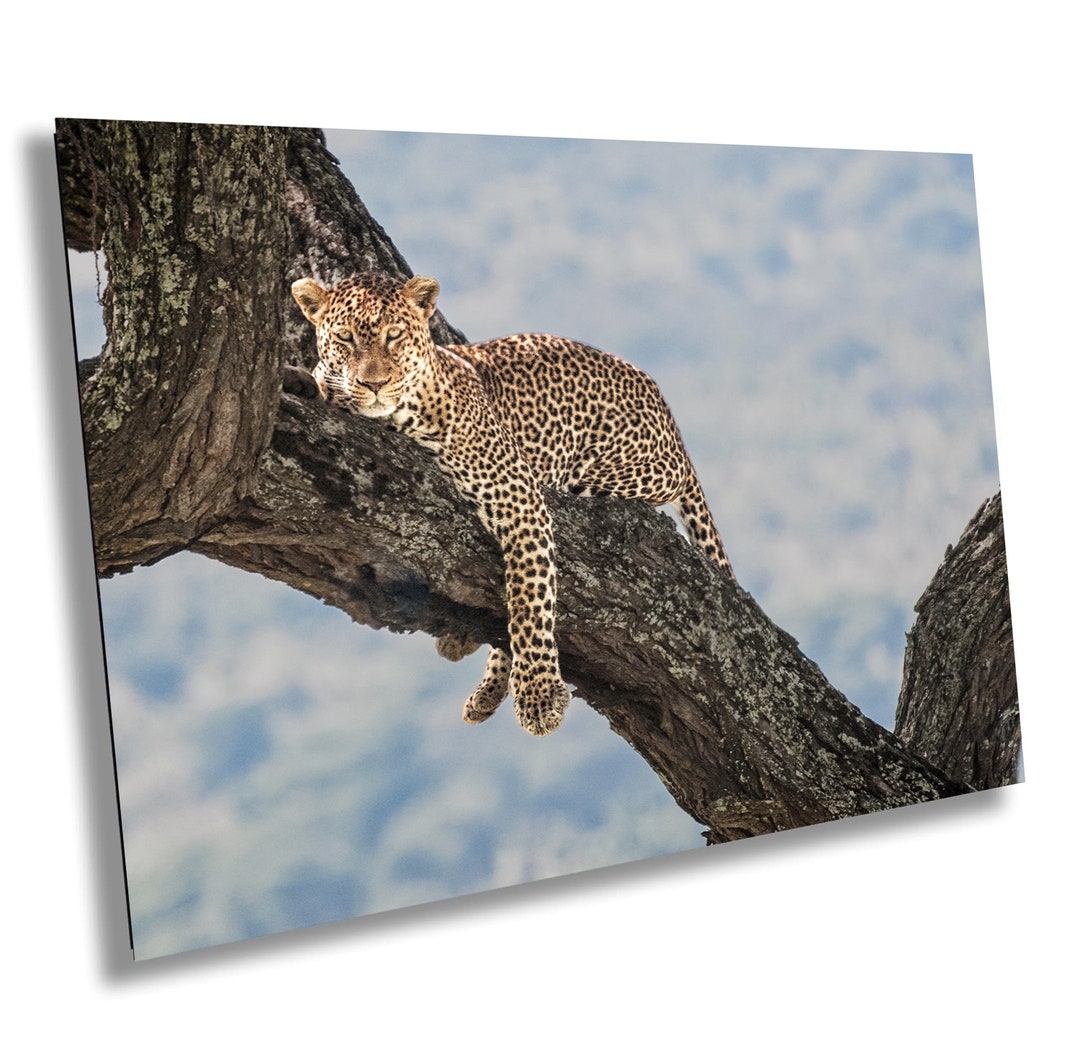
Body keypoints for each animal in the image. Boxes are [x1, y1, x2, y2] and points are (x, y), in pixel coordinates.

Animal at [291, 271, 734, 737]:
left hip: (634, 469)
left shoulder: (518, 494)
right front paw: (303, 384)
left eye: (393, 336)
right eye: (345, 338)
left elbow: (528, 596)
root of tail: (660, 399)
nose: (373, 384)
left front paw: (539, 697)